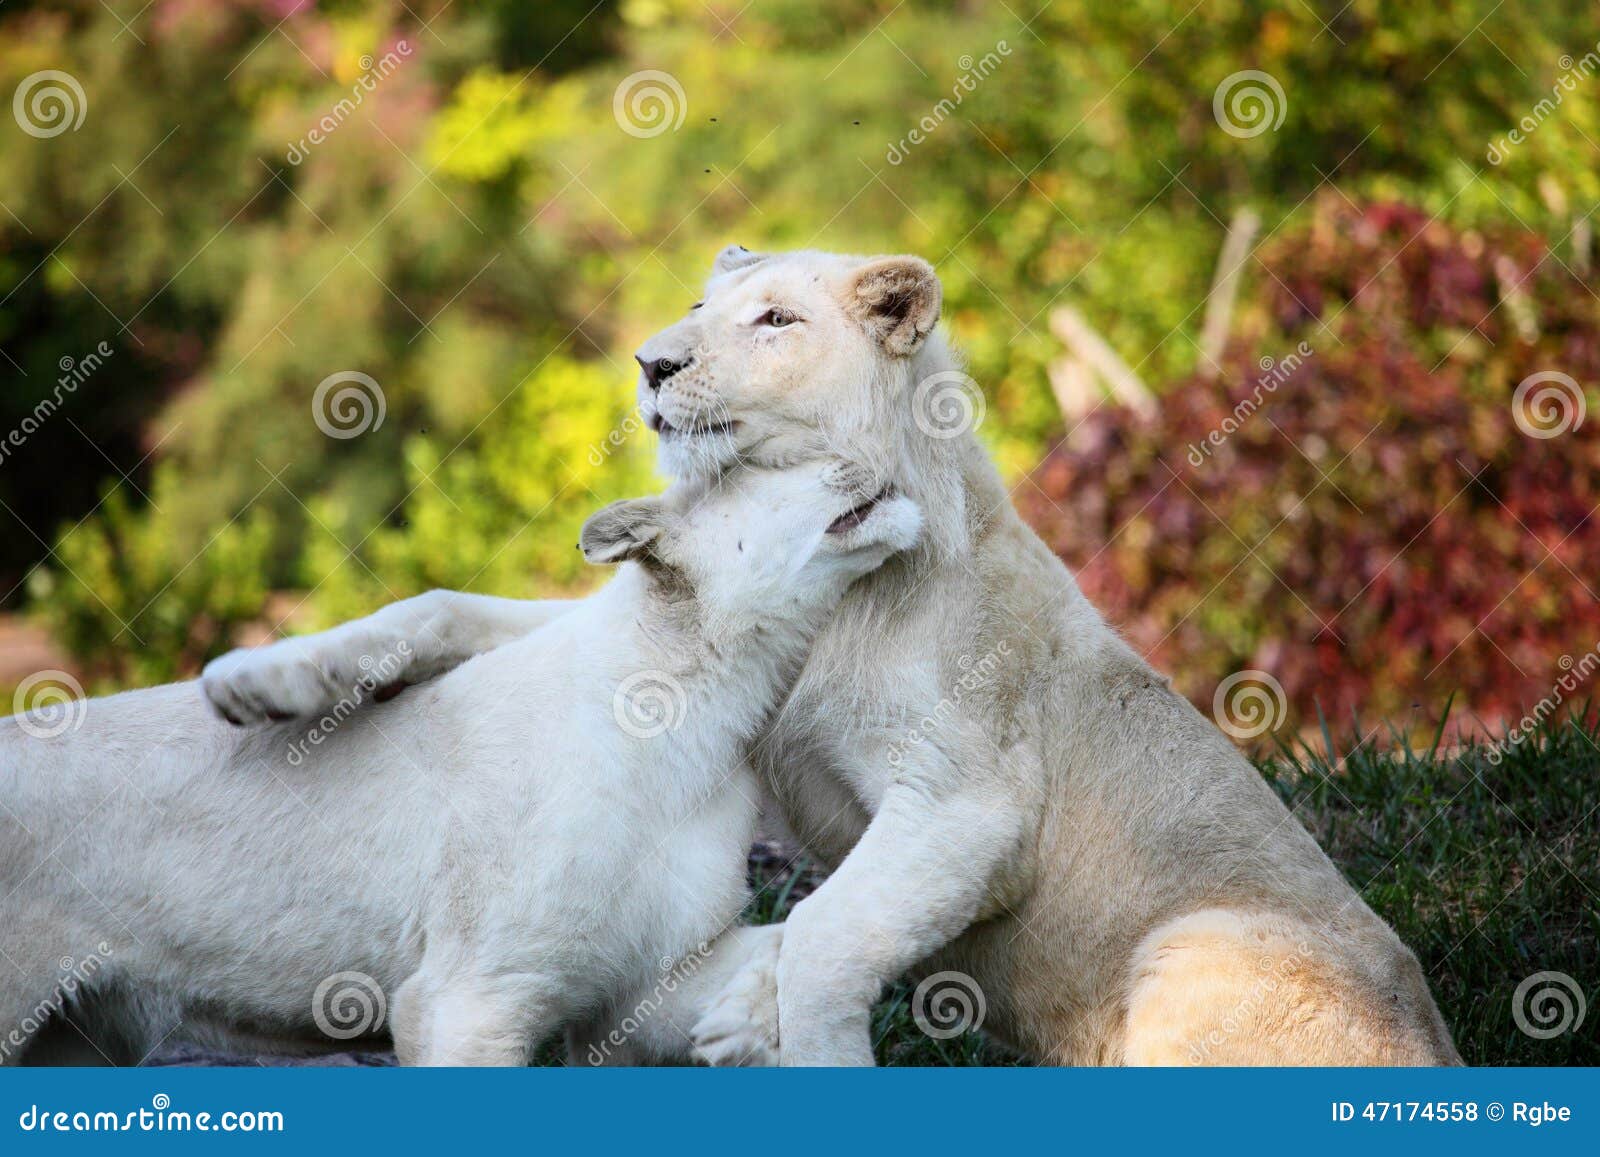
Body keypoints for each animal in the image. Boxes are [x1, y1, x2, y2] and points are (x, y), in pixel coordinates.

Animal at [203, 245, 1461, 1066]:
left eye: (773, 321)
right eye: (699, 307)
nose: (652, 364)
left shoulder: (971, 800)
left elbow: (823, 929)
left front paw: (759, 1021)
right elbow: (442, 605)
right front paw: (253, 685)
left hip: (1202, 941)